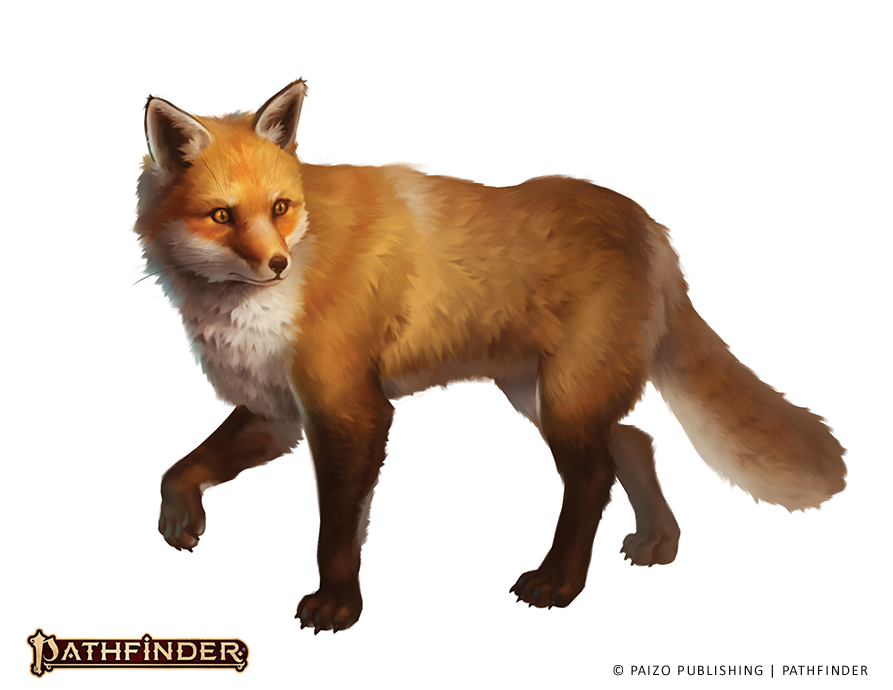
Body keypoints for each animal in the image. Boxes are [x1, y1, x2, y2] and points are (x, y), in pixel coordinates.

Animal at [136, 80, 846, 634]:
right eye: (222, 216)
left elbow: (335, 530)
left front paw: (339, 604)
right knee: (634, 441)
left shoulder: (349, 410)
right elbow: (181, 469)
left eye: (280, 208)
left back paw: (561, 581)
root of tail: (653, 230)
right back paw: (657, 541)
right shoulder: (279, 408)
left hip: (564, 401)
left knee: (595, 477)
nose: (278, 265)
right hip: (544, 397)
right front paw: (179, 518)